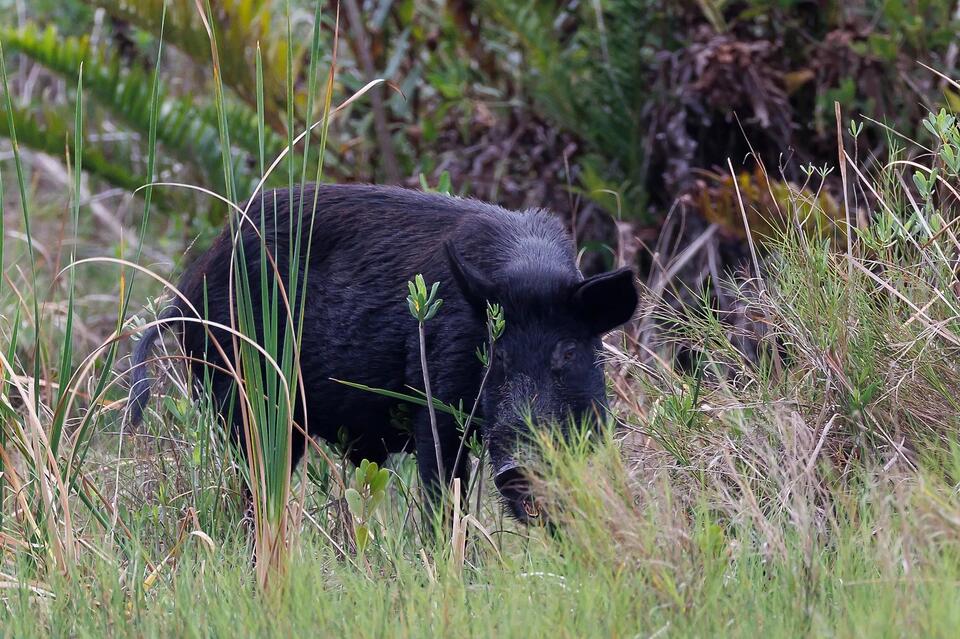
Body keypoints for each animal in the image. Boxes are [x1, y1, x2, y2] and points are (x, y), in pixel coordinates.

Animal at [127, 184, 638, 522]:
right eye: (496, 356)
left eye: (568, 352)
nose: (520, 469)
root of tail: (185, 292)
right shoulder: (436, 403)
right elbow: (442, 493)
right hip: (244, 394)